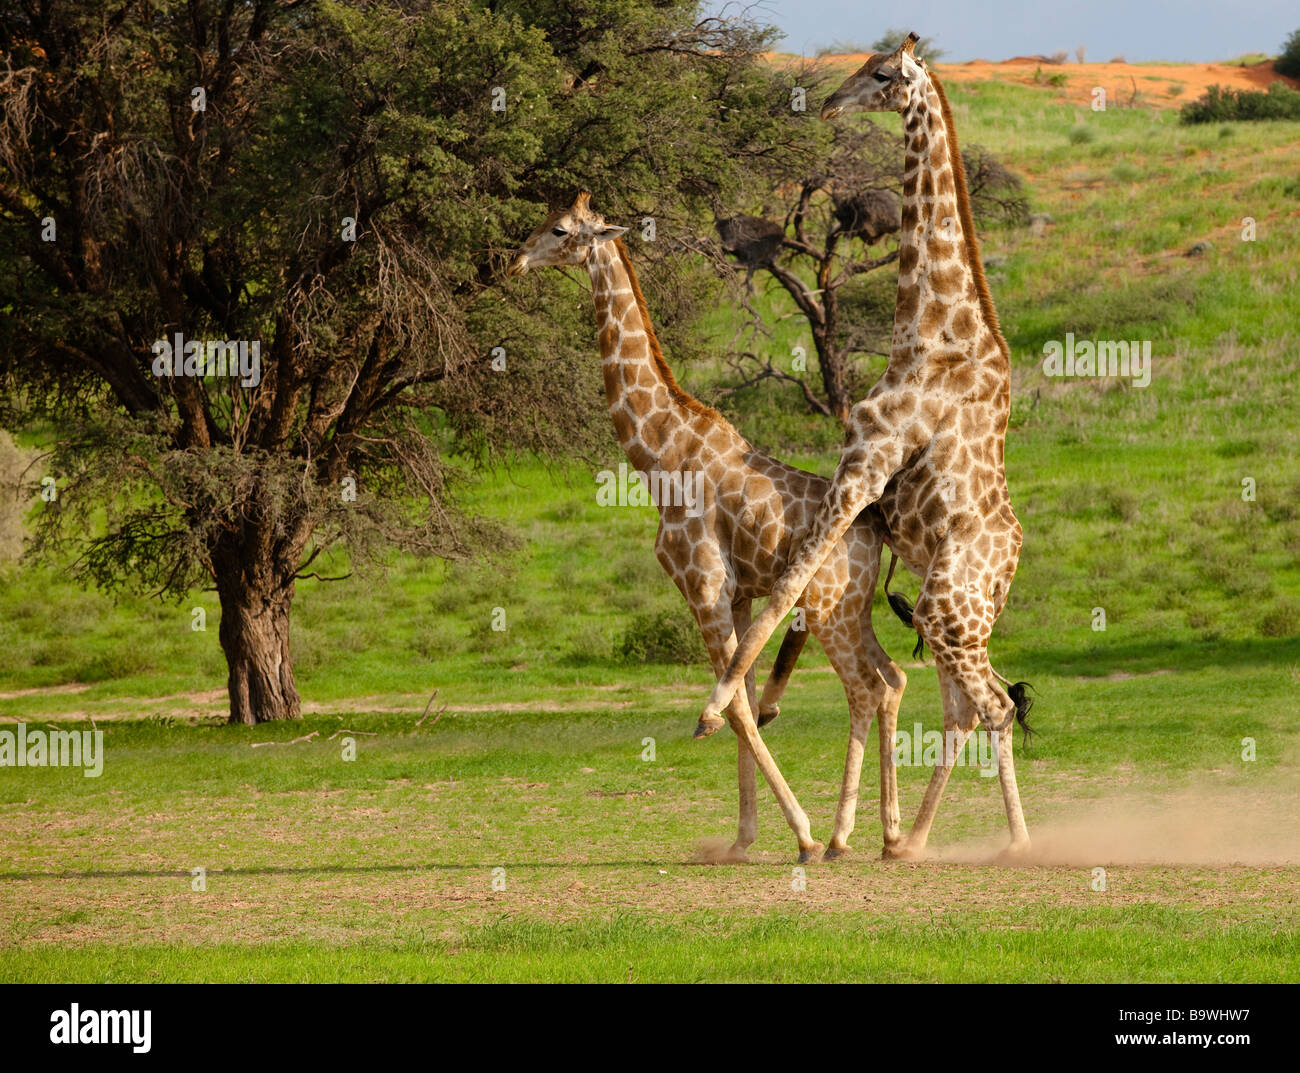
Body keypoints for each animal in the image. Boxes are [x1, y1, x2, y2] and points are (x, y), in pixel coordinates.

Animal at [507, 193, 908, 863]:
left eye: (559, 230)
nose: (514, 261)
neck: (657, 457)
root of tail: (874, 527)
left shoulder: (704, 585)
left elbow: (738, 710)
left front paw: (796, 834)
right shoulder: (737, 594)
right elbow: (741, 700)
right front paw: (742, 839)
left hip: (826, 607)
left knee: (865, 689)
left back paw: (836, 838)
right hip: (852, 608)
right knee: (894, 677)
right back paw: (890, 836)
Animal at [694, 33, 1034, 860]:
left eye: (882, 74)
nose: (827, 102)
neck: (926, 327)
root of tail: (1010, 565)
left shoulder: (868, 460)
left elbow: (791, 582)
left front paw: (719, 706)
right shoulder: (862, 480)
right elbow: (802, 587)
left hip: (947, 606)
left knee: (995, 705)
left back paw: (1013, 841)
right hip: (953, 614)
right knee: (966, 705)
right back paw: (907, 840)